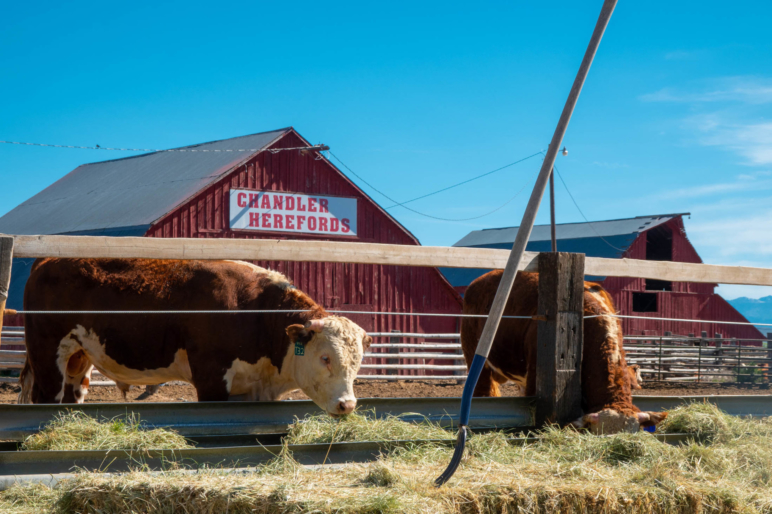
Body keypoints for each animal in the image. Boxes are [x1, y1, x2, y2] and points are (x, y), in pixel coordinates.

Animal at [18, 258, 371, 417]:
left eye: (357, 364)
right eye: (325, 358)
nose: (348, 404)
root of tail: (47, 260)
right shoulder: (212, 379)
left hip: (79, 361)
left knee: (72, 396)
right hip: (48, 355)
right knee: (44, 397)